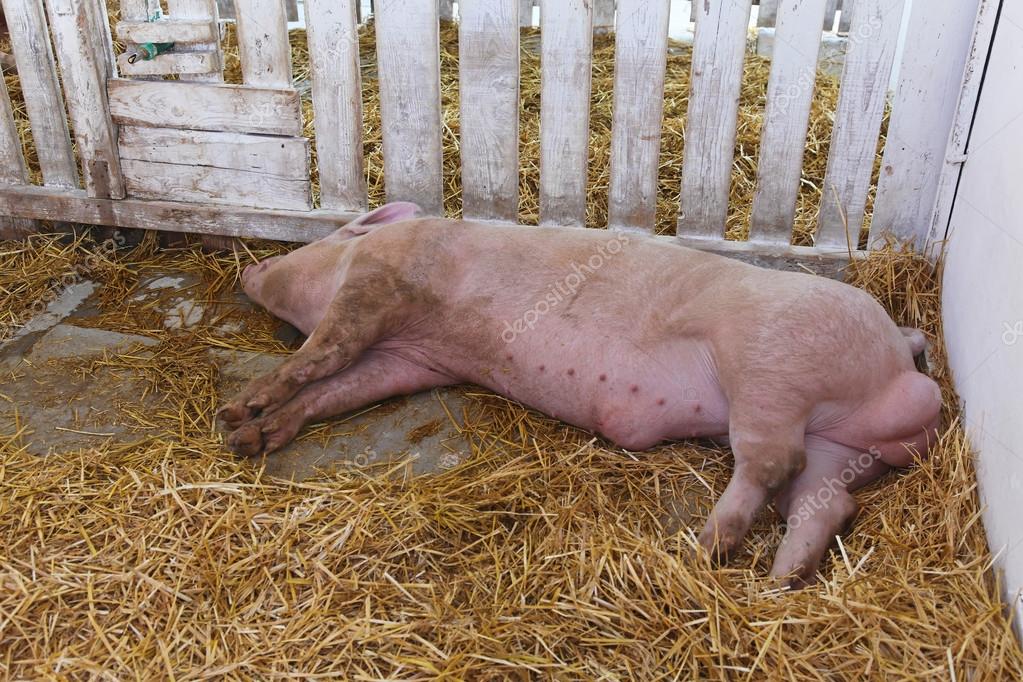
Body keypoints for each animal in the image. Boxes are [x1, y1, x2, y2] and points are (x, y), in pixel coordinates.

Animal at [219, 201, 941, 585]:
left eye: (336, 233)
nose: (252, 267)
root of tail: (900, 363)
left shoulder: (381, 280)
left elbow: (320, 356)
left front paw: (236, 411)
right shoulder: (410, 360)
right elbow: (337, 389)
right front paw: (255, 437)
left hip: (769, 376)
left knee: (769, 463)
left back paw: (705, 549)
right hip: (836, 443)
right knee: (827, 502)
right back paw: (777, 582)